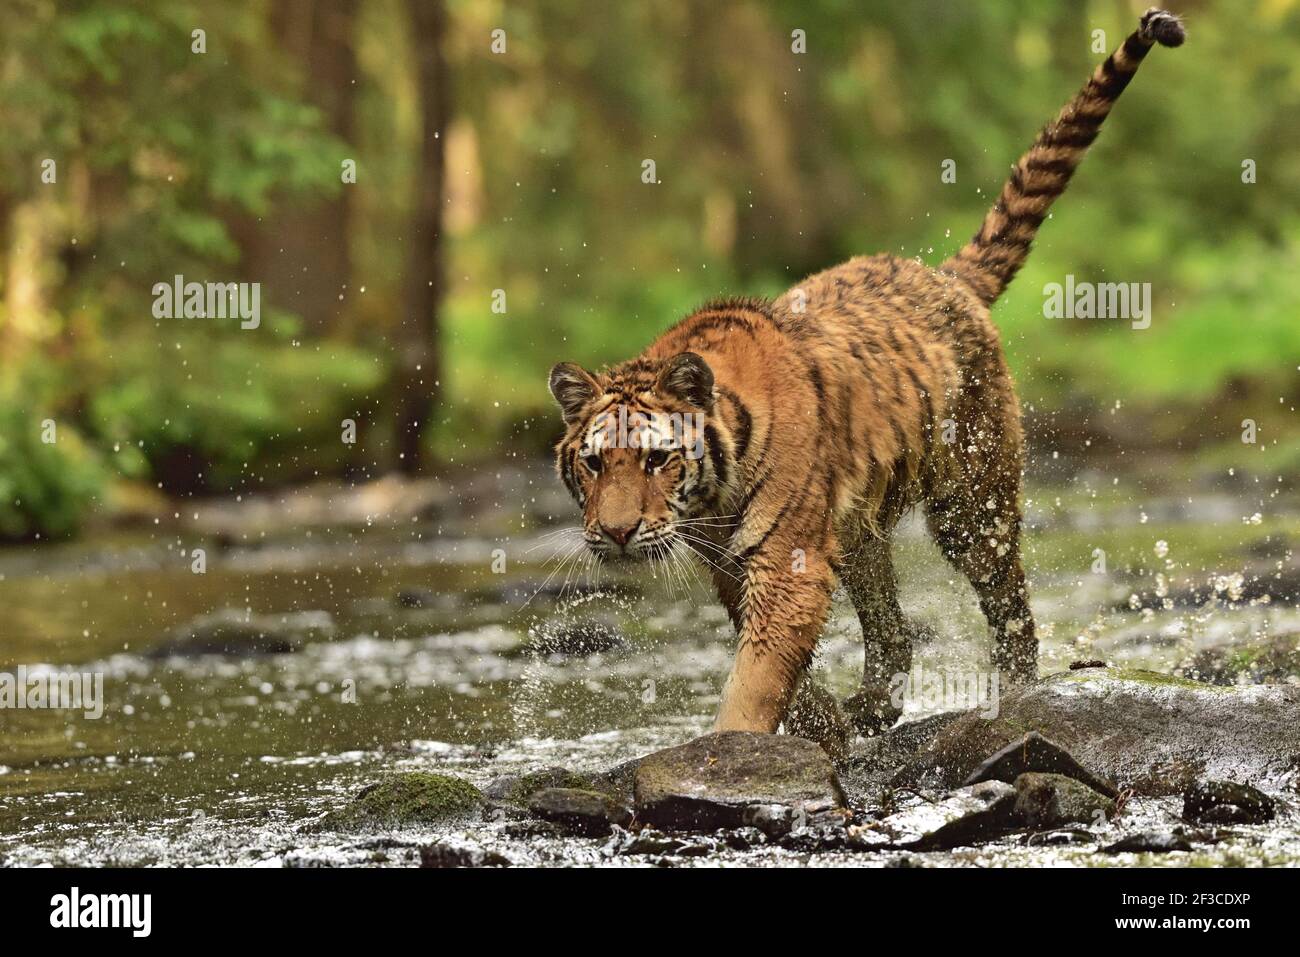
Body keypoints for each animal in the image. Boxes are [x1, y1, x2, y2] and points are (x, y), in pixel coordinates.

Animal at [547, 9, 1184, 736]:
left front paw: (735, 744)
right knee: (892, 627)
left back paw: (1015, 695)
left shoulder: (788, 563)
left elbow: (755, 677)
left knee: (1011, 608)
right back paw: (873, 709)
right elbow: (779, 666)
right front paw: (819, 723)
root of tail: (944, 277)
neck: (710, 498)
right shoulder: (734, 567)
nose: (617, 533)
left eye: (657, 460)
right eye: (594, 464)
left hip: (974, 507)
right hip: (862, 533)